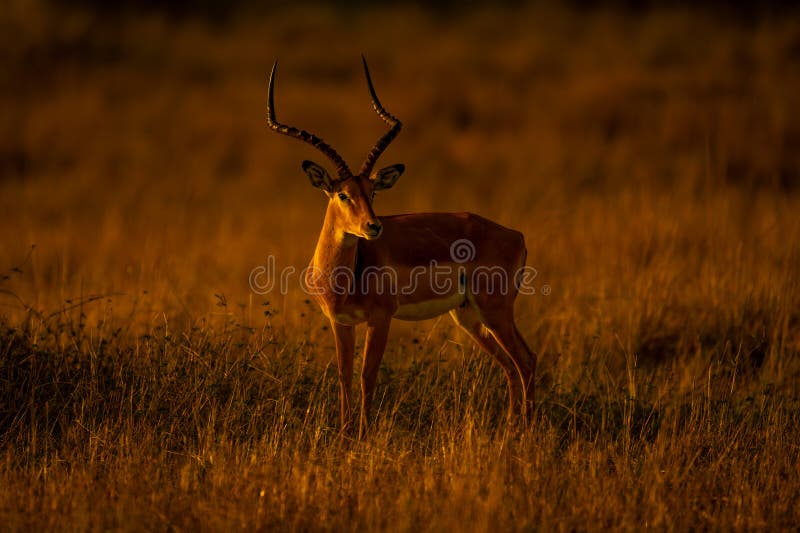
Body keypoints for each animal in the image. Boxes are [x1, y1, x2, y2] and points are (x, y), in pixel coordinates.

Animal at [266, 57, 536, 436]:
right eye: (343, 194)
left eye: (373, 191)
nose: (373, 226)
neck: (345, 277)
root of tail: (516, 235)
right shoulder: (341, 322)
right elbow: (344, 376)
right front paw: (345, 434)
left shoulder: (381, 319)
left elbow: (367, 375)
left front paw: (363, 434)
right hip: (468, 316)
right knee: (511, 365)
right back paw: (513, 427)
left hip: (495, 310)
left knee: (526, 360)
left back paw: (526, 430)